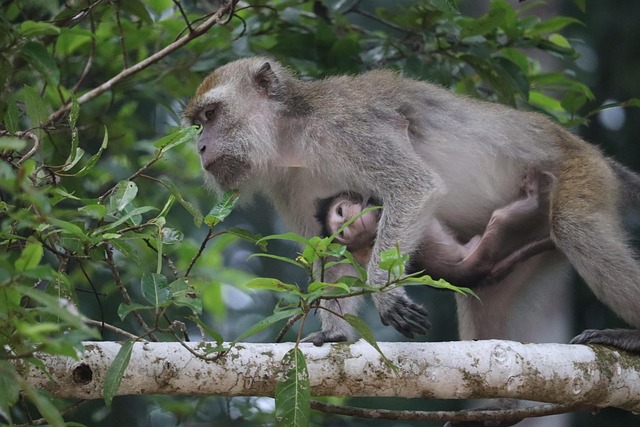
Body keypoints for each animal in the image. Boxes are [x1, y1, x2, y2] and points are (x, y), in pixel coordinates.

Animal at [314, 171, 555, 287]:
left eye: (340, 211)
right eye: (342, 233)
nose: (349, 225)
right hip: (482, 254)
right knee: (500, 219)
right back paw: (533, 195)